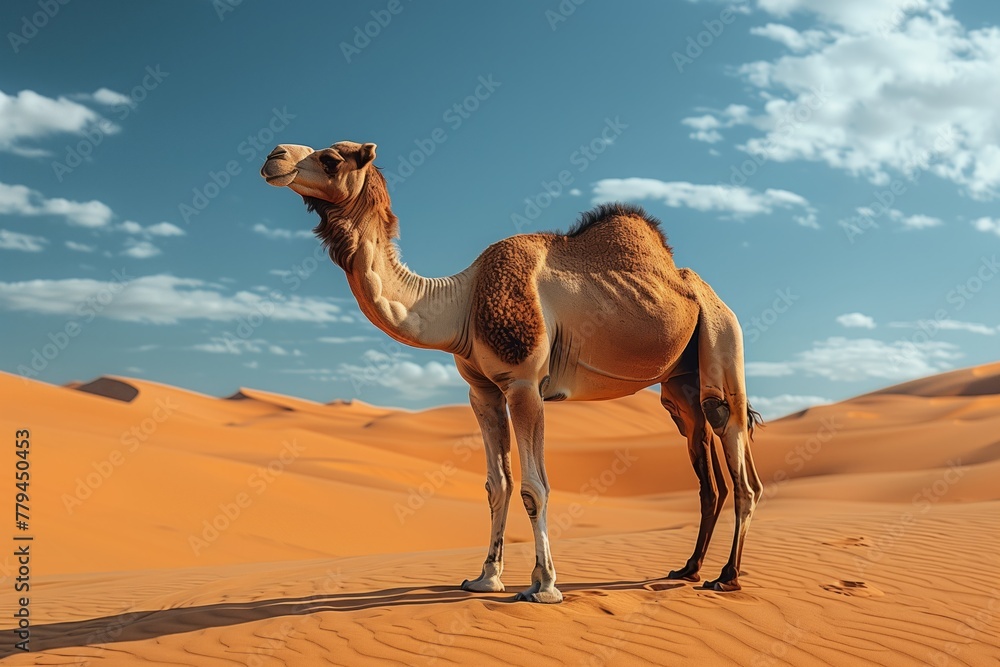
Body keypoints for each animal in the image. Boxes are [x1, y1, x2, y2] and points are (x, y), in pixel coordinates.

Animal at [260, 141, 764, 603]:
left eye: (330, 158)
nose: (274, 156)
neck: (459, 304)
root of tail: (708, 293)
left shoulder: (524, 384)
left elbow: (534, 488)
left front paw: (544, 586)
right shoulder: (483, 390)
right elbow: (496, 485)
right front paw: (485, 578)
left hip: (722, 336)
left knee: (737, 456)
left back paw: (727, 577)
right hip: (680, 382)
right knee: (704, 464)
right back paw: (688, 569)